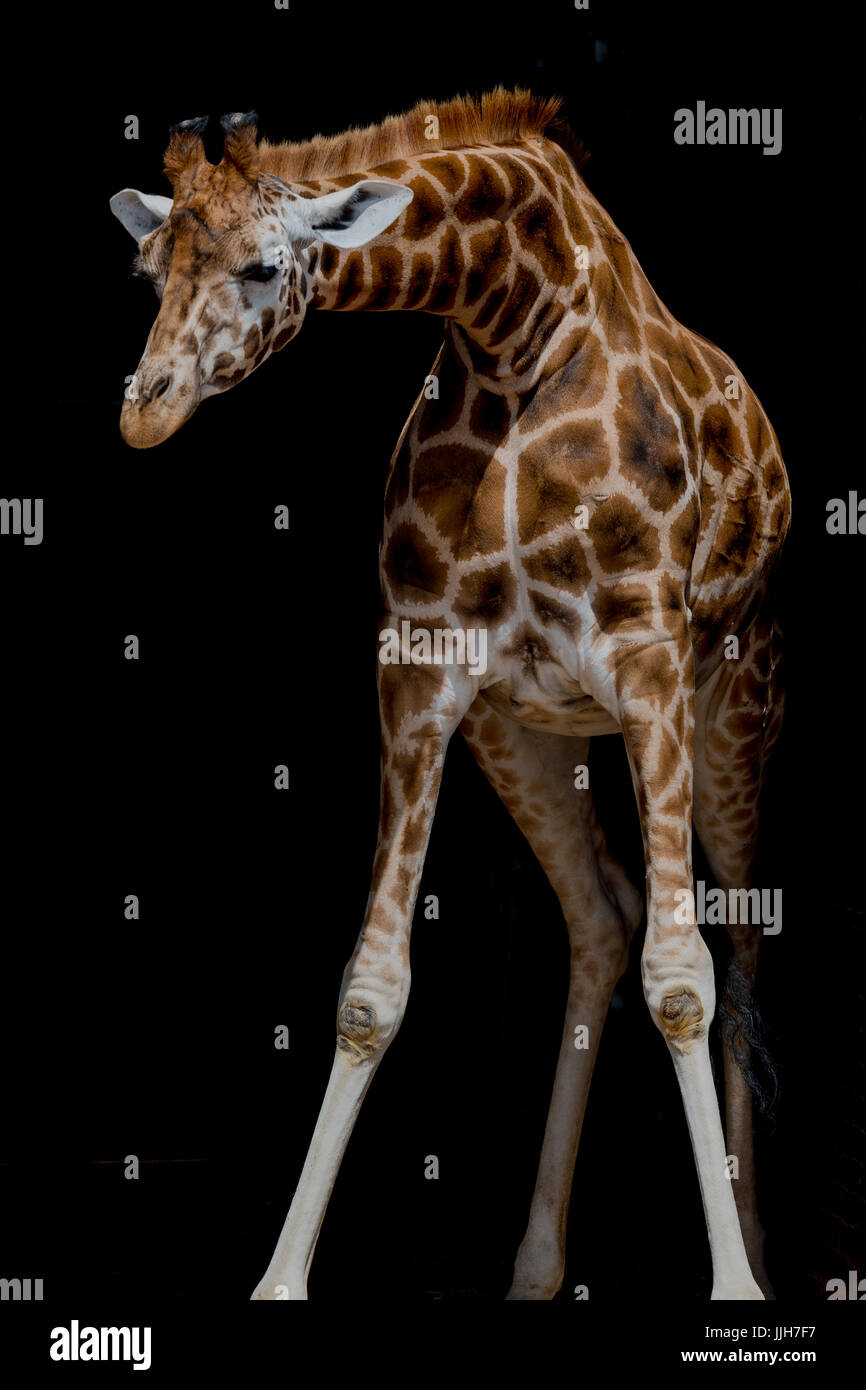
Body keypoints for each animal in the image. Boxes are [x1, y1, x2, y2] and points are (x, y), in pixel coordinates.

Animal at [112, 90, 790, 1300]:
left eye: (261, 266)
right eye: (149, 269)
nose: (147, 410)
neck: (511, 325)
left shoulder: (649, 658)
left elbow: (684, 979)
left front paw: (734, 1290)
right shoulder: (423, 671)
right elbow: (370, 990)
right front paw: (278, 1282)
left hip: (733, 708)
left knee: (739, 933)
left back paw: (751, 1242)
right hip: (528, 736)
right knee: (601, 916)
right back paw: (535, 1264)